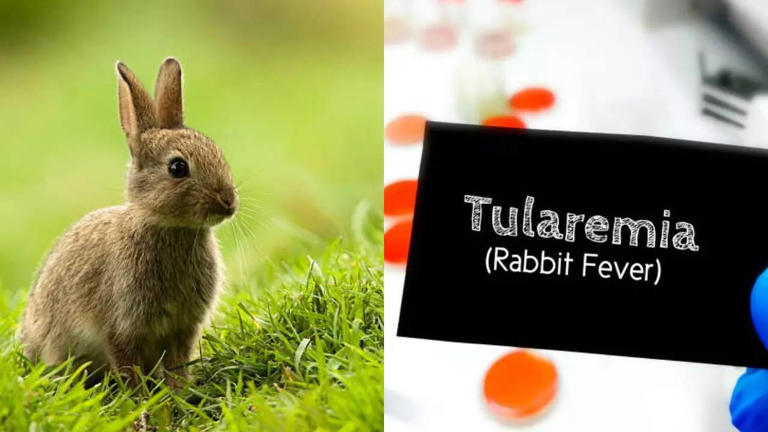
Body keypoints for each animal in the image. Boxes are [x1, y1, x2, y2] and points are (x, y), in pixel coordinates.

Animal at [19, 58, 238, 389]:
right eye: (178, 167)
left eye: (218, 153)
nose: (228, 201)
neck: (169, 227)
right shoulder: (121, 324)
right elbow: (126, 361)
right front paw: (140, 396)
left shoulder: (183, 327)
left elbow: (178, 361)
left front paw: (181, 390)